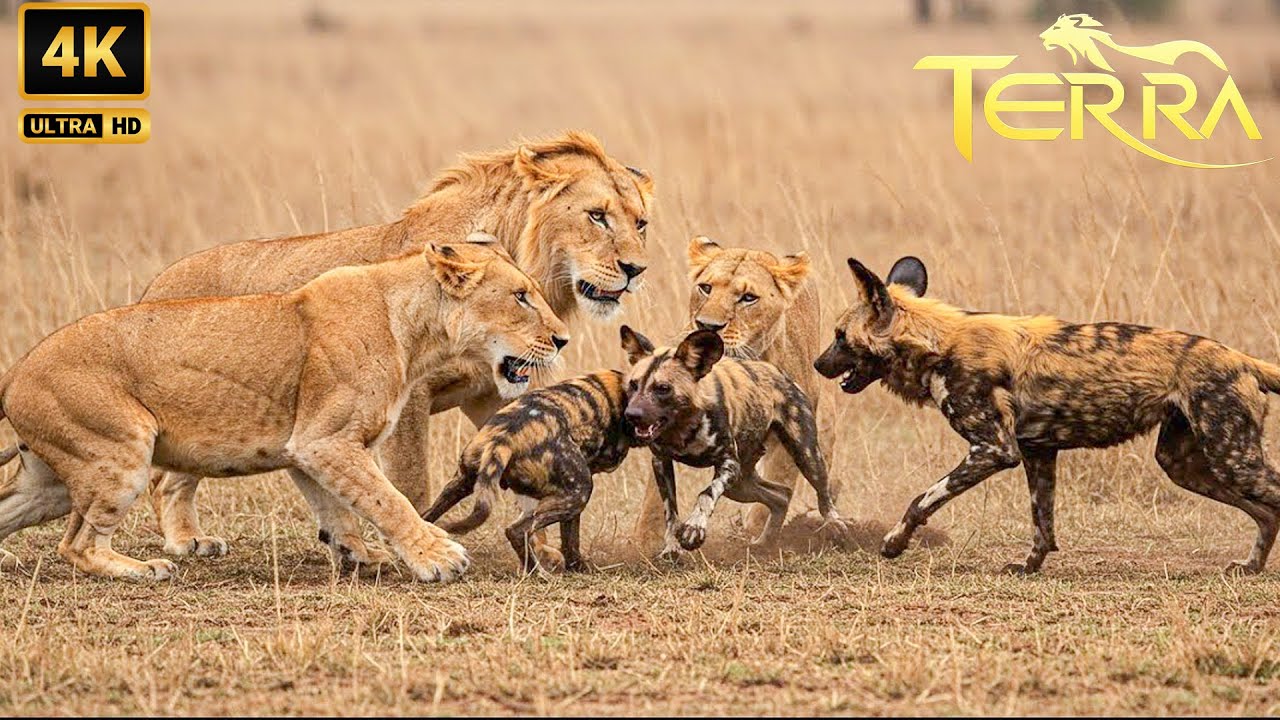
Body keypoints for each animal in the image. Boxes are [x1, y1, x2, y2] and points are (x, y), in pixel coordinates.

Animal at [0, 240, 569, 581]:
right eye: (521, 296)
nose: (562, 339)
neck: (414, 330)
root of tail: (16, 369)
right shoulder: (325, 439)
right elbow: (387, 500)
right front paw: (437, 556)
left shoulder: (305, 448)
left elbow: (338, 507)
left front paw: (359, 554)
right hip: (120, 451)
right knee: (76, 545)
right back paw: (143, 568)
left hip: (49, 483)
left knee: (18, 508)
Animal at [143, 131, 654, 565]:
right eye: (596, 216)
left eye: (641, 223)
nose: (635, 270)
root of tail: (154, 285)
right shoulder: (411, 399)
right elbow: (410, 483)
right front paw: (428, 544)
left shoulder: (492, 394)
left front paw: (542, 548)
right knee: (163, 480)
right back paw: (186, 540)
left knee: (175, 476)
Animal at [632, 236, 832, 550]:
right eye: (706, 287)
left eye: (748, 298)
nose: (707, 326)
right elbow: (660, 496)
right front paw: (646, 539)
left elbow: (779, 477)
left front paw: (756, 530)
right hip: (742, 476)